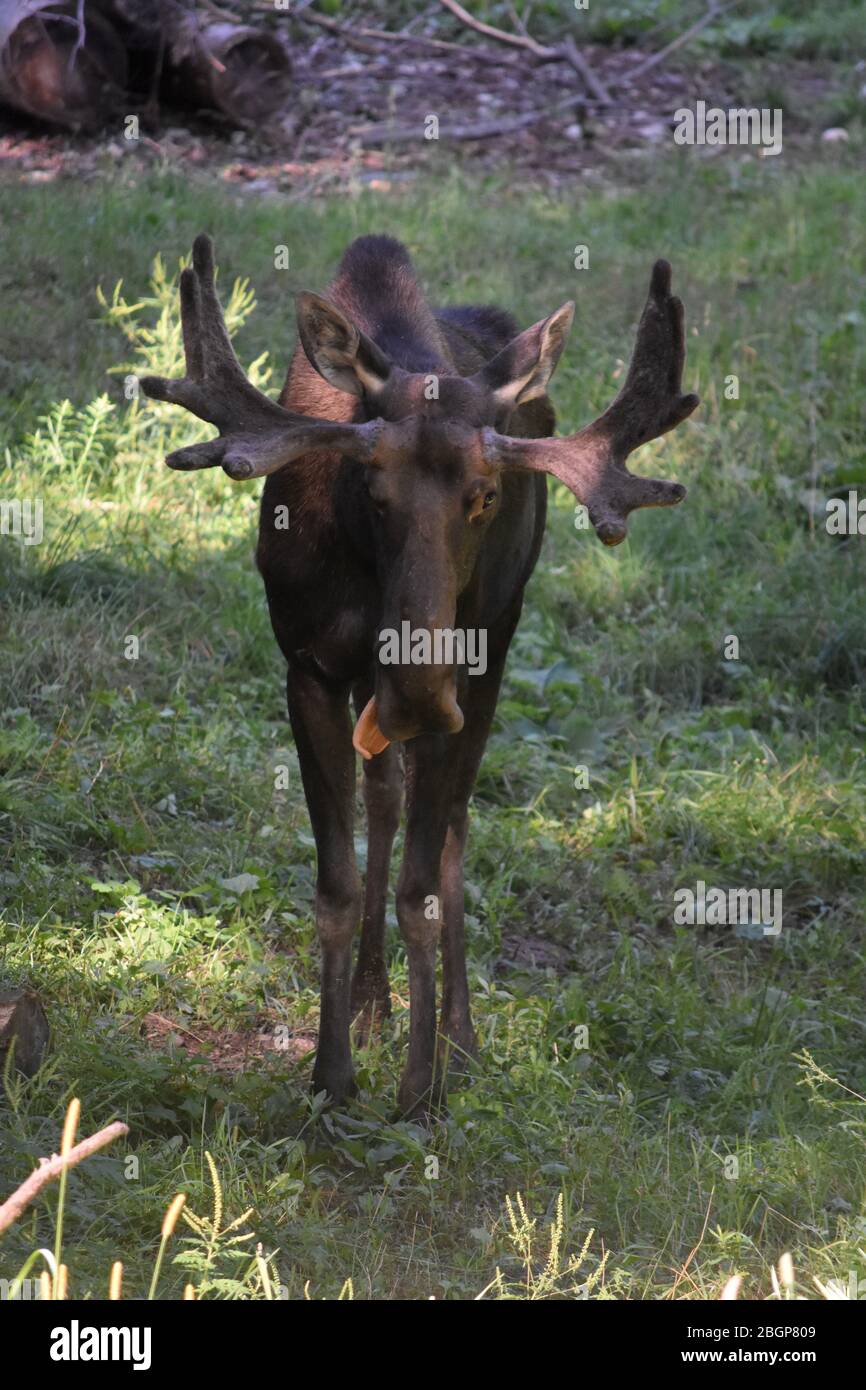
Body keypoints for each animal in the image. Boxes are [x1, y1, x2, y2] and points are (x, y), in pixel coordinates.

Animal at [140, 233, 698, 1117]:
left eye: (486, 494)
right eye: (373, 491)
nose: (417, 690)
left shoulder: (464, 674)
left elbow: (422, 888)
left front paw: (421, 1090)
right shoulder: (308, 666)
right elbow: (337, 885)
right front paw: (331, 1080)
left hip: (496, 645)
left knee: (456, 826)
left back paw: (459, 1041)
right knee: (386, 797)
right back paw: (373, 1005)